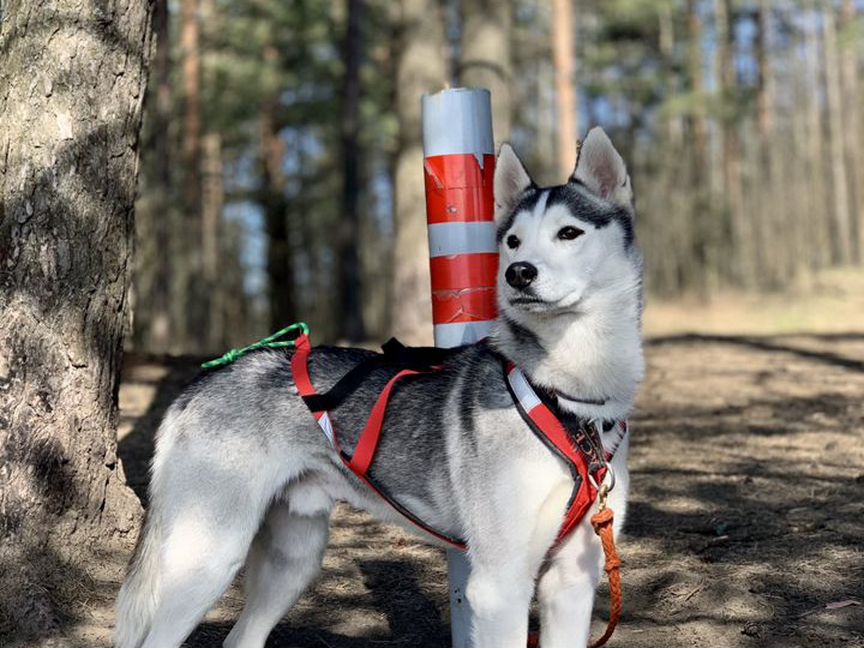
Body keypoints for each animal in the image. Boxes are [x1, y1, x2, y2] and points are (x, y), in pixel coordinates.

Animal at [113, 128, 640, 648]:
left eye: (569, 233)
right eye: (512, 241)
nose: (518, 273)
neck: (570, 401)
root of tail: (203, 380)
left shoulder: (573, 582)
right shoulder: (500, 586)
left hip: (293, 561)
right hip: (209, 557)